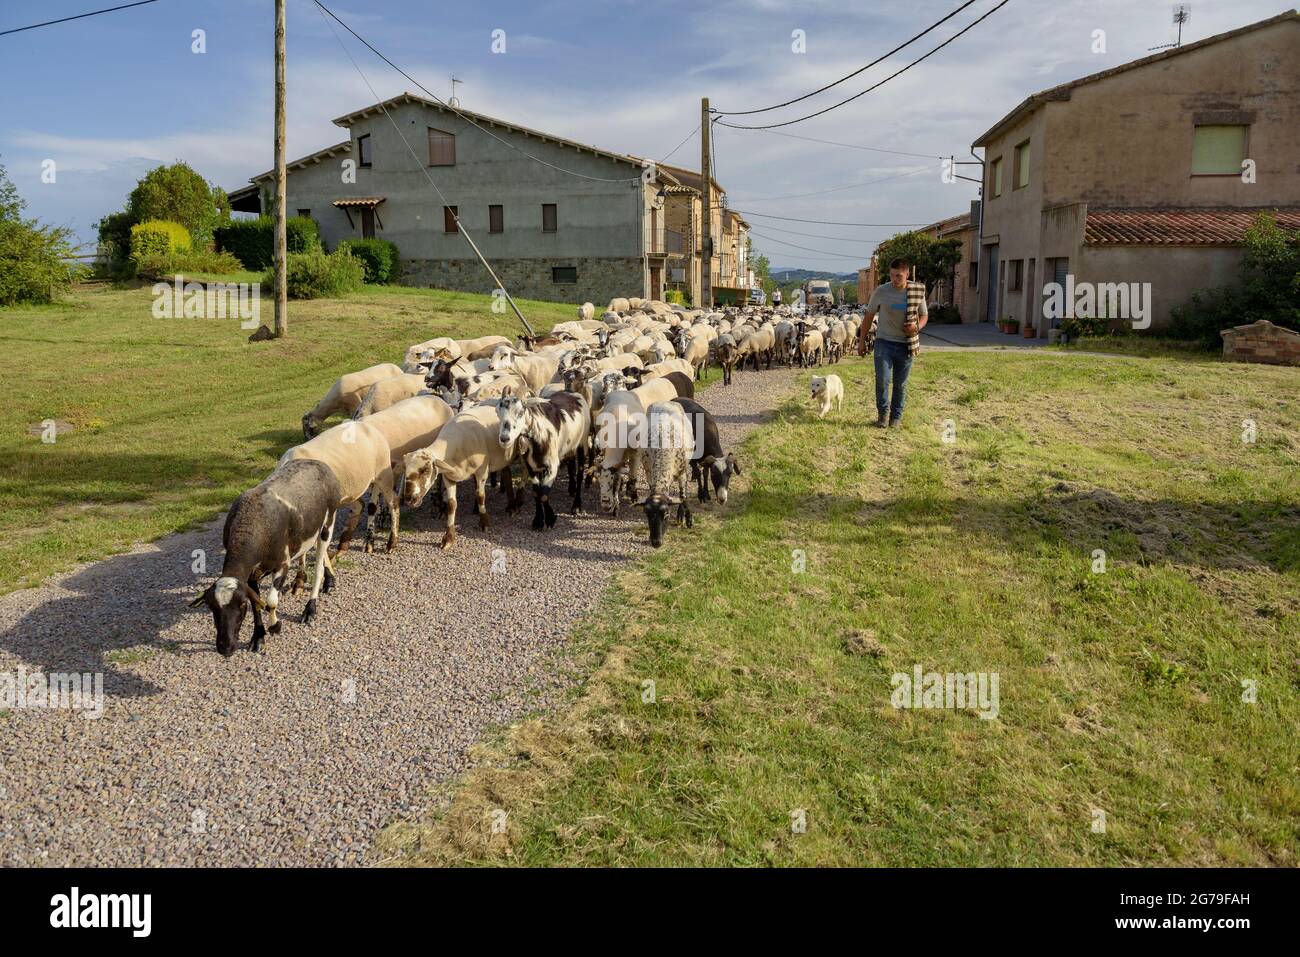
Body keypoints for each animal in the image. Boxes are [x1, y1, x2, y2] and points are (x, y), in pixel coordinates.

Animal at [189, 459, 343, 656]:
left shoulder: (282, 564)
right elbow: (257, 603)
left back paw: (310, 609)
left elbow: (270, 601)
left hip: (328, 524)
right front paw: (258, 638)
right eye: (211, 606)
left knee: (318, 569)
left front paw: (275, 626)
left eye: (241, 605)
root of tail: (317, 462)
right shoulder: (251, 574)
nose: (225, 648)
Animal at [400, 403, 521, 549]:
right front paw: (448, 538)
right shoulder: (449, 477)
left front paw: (484, 523)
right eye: (405, 469)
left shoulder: (482, 471)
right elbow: (452, 504)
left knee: (507, 477)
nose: (409, 498)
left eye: (425, 470)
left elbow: (481, 496)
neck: (452, 446)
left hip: (503, 458)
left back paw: (512, 508)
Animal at [639, 401, 696, 548]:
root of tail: (665, 402)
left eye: (666, 514)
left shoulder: (682, 473)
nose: (656, 542)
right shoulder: (649, 472)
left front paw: (688, 520)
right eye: (646, 514)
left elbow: (683, 497)